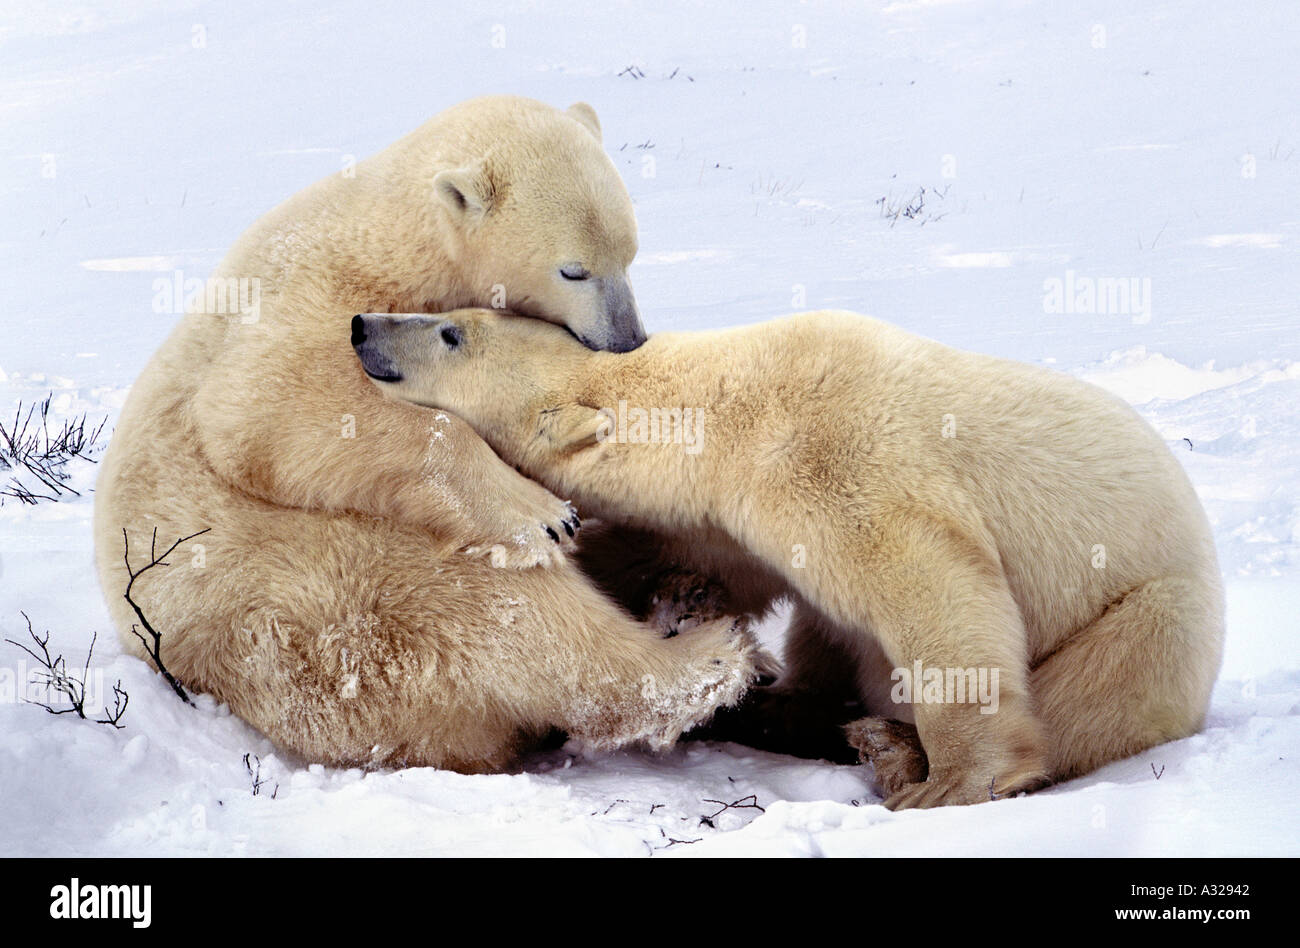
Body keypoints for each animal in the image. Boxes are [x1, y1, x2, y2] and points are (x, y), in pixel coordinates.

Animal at [93, 96, 759, 771]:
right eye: (573, 271)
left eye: (631, 255)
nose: (628, 339)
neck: (387, 237)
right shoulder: (305, 297)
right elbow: (267, 408)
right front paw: (540, 512)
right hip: (314, 588)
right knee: (501, 609)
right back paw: (704, 653)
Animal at [353, 306, 1227, 807]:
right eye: (451, 309)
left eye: (450, 331)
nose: (362, 323)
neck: (727, 404)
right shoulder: (727, 512)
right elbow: (690, 557)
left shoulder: (835, 456)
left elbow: (933, 588)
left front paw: (952, 784)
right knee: (828, 640)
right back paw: (784, 708)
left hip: (1153, 616)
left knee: (1094, 693)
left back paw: (892, 748)